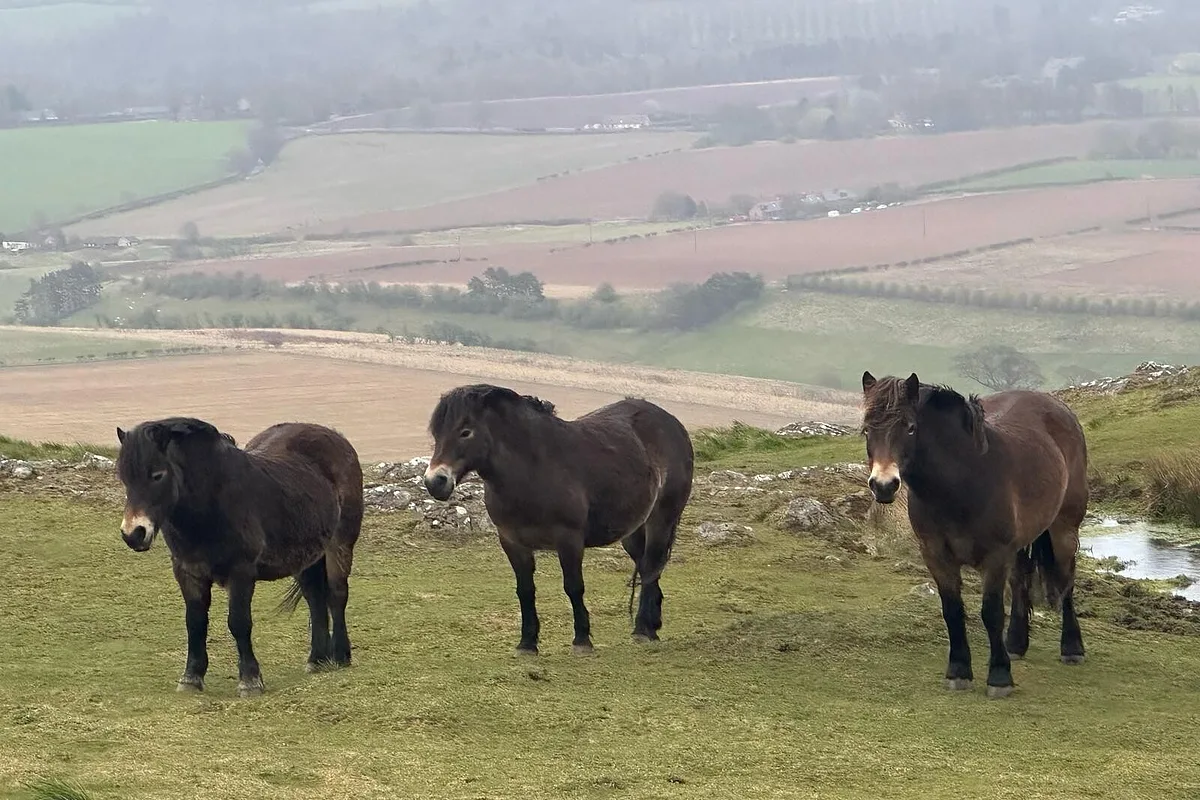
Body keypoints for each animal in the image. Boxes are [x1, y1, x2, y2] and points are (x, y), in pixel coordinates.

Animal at [115, 417, 364, 697]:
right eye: (124, 478)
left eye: (157, 475)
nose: (133, 534)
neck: (211, 503)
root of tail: (337, 438)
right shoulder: (188, 571)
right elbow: (195, 623)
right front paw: (191, 678)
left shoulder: (241, 572)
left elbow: (239, 622)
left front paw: (250, 681)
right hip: (307, 554)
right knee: (315, 597)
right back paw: (316, 659)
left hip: (339, 544)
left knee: (337, 594)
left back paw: (341, 656)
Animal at [422, 384, 694, 655]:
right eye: (436, 433)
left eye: (465, 432)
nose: (435, 482)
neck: (532, 470)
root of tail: (671, 423)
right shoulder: (512, 542)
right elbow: (525, 591)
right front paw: (527, 643)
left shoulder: (569, 539)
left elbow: (573, 586)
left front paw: (582, 640)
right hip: (632, 529)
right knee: (647, 566)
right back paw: (651, 626)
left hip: (661, 519)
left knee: (651, 566)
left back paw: (642, 630)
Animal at [860, 372, 1088, 699]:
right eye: (867, 430)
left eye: (910, 427)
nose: (884, 485)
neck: (962, 482)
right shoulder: (935, 555)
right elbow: (952, 611)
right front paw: (958, 672)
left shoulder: (994, 556)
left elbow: (991, 612)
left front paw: (999, 676)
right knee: (1020, 579)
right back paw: (1015, 643)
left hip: (1064, 528)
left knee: (1066, 579)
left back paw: (1072, 647)